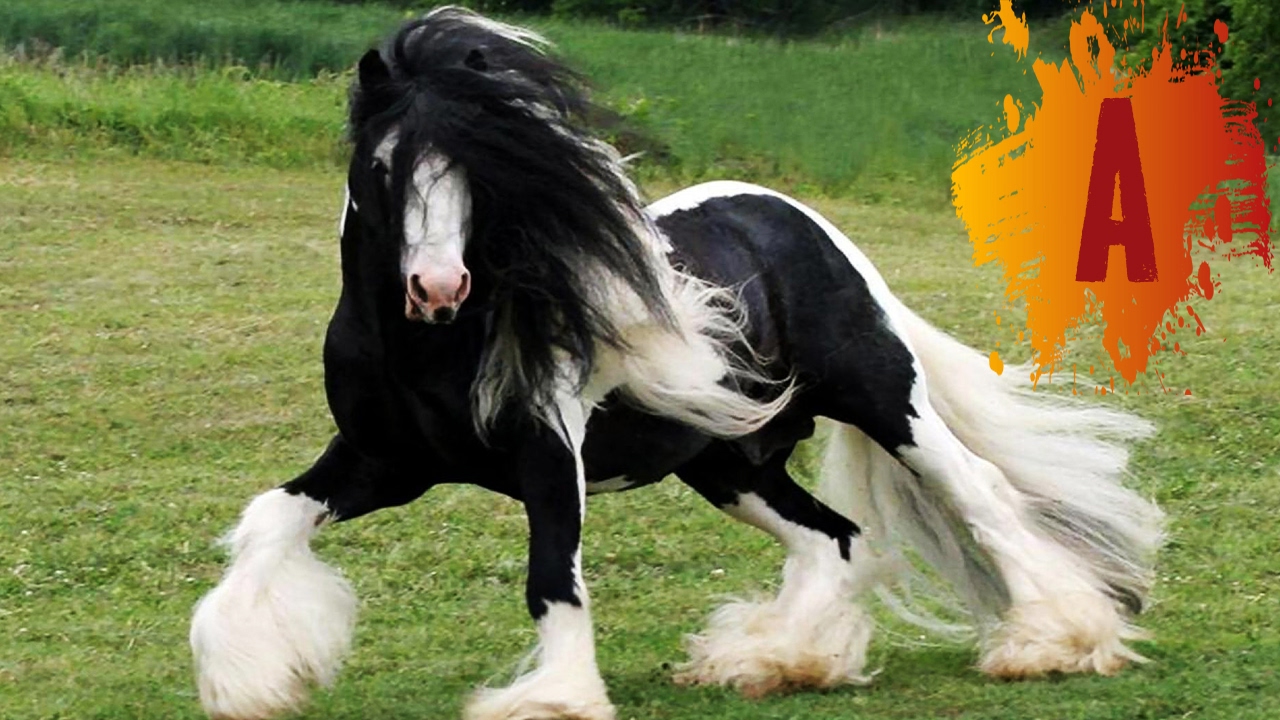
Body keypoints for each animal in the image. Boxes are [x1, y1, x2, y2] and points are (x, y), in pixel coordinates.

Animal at [189, 8, 1164, 720]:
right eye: (386, 165)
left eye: (482, 171)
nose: (437, 286)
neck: (425, 348)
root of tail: (796, 219)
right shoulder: (382, 461)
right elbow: (269, 520)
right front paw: (248, 677)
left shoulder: (547, 459)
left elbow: (553, 579)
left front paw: (554, 701)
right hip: (727, 461)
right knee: (833, 538)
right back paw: (775, 661)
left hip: (885, 398)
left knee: (983, 498)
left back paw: (1051, 644)